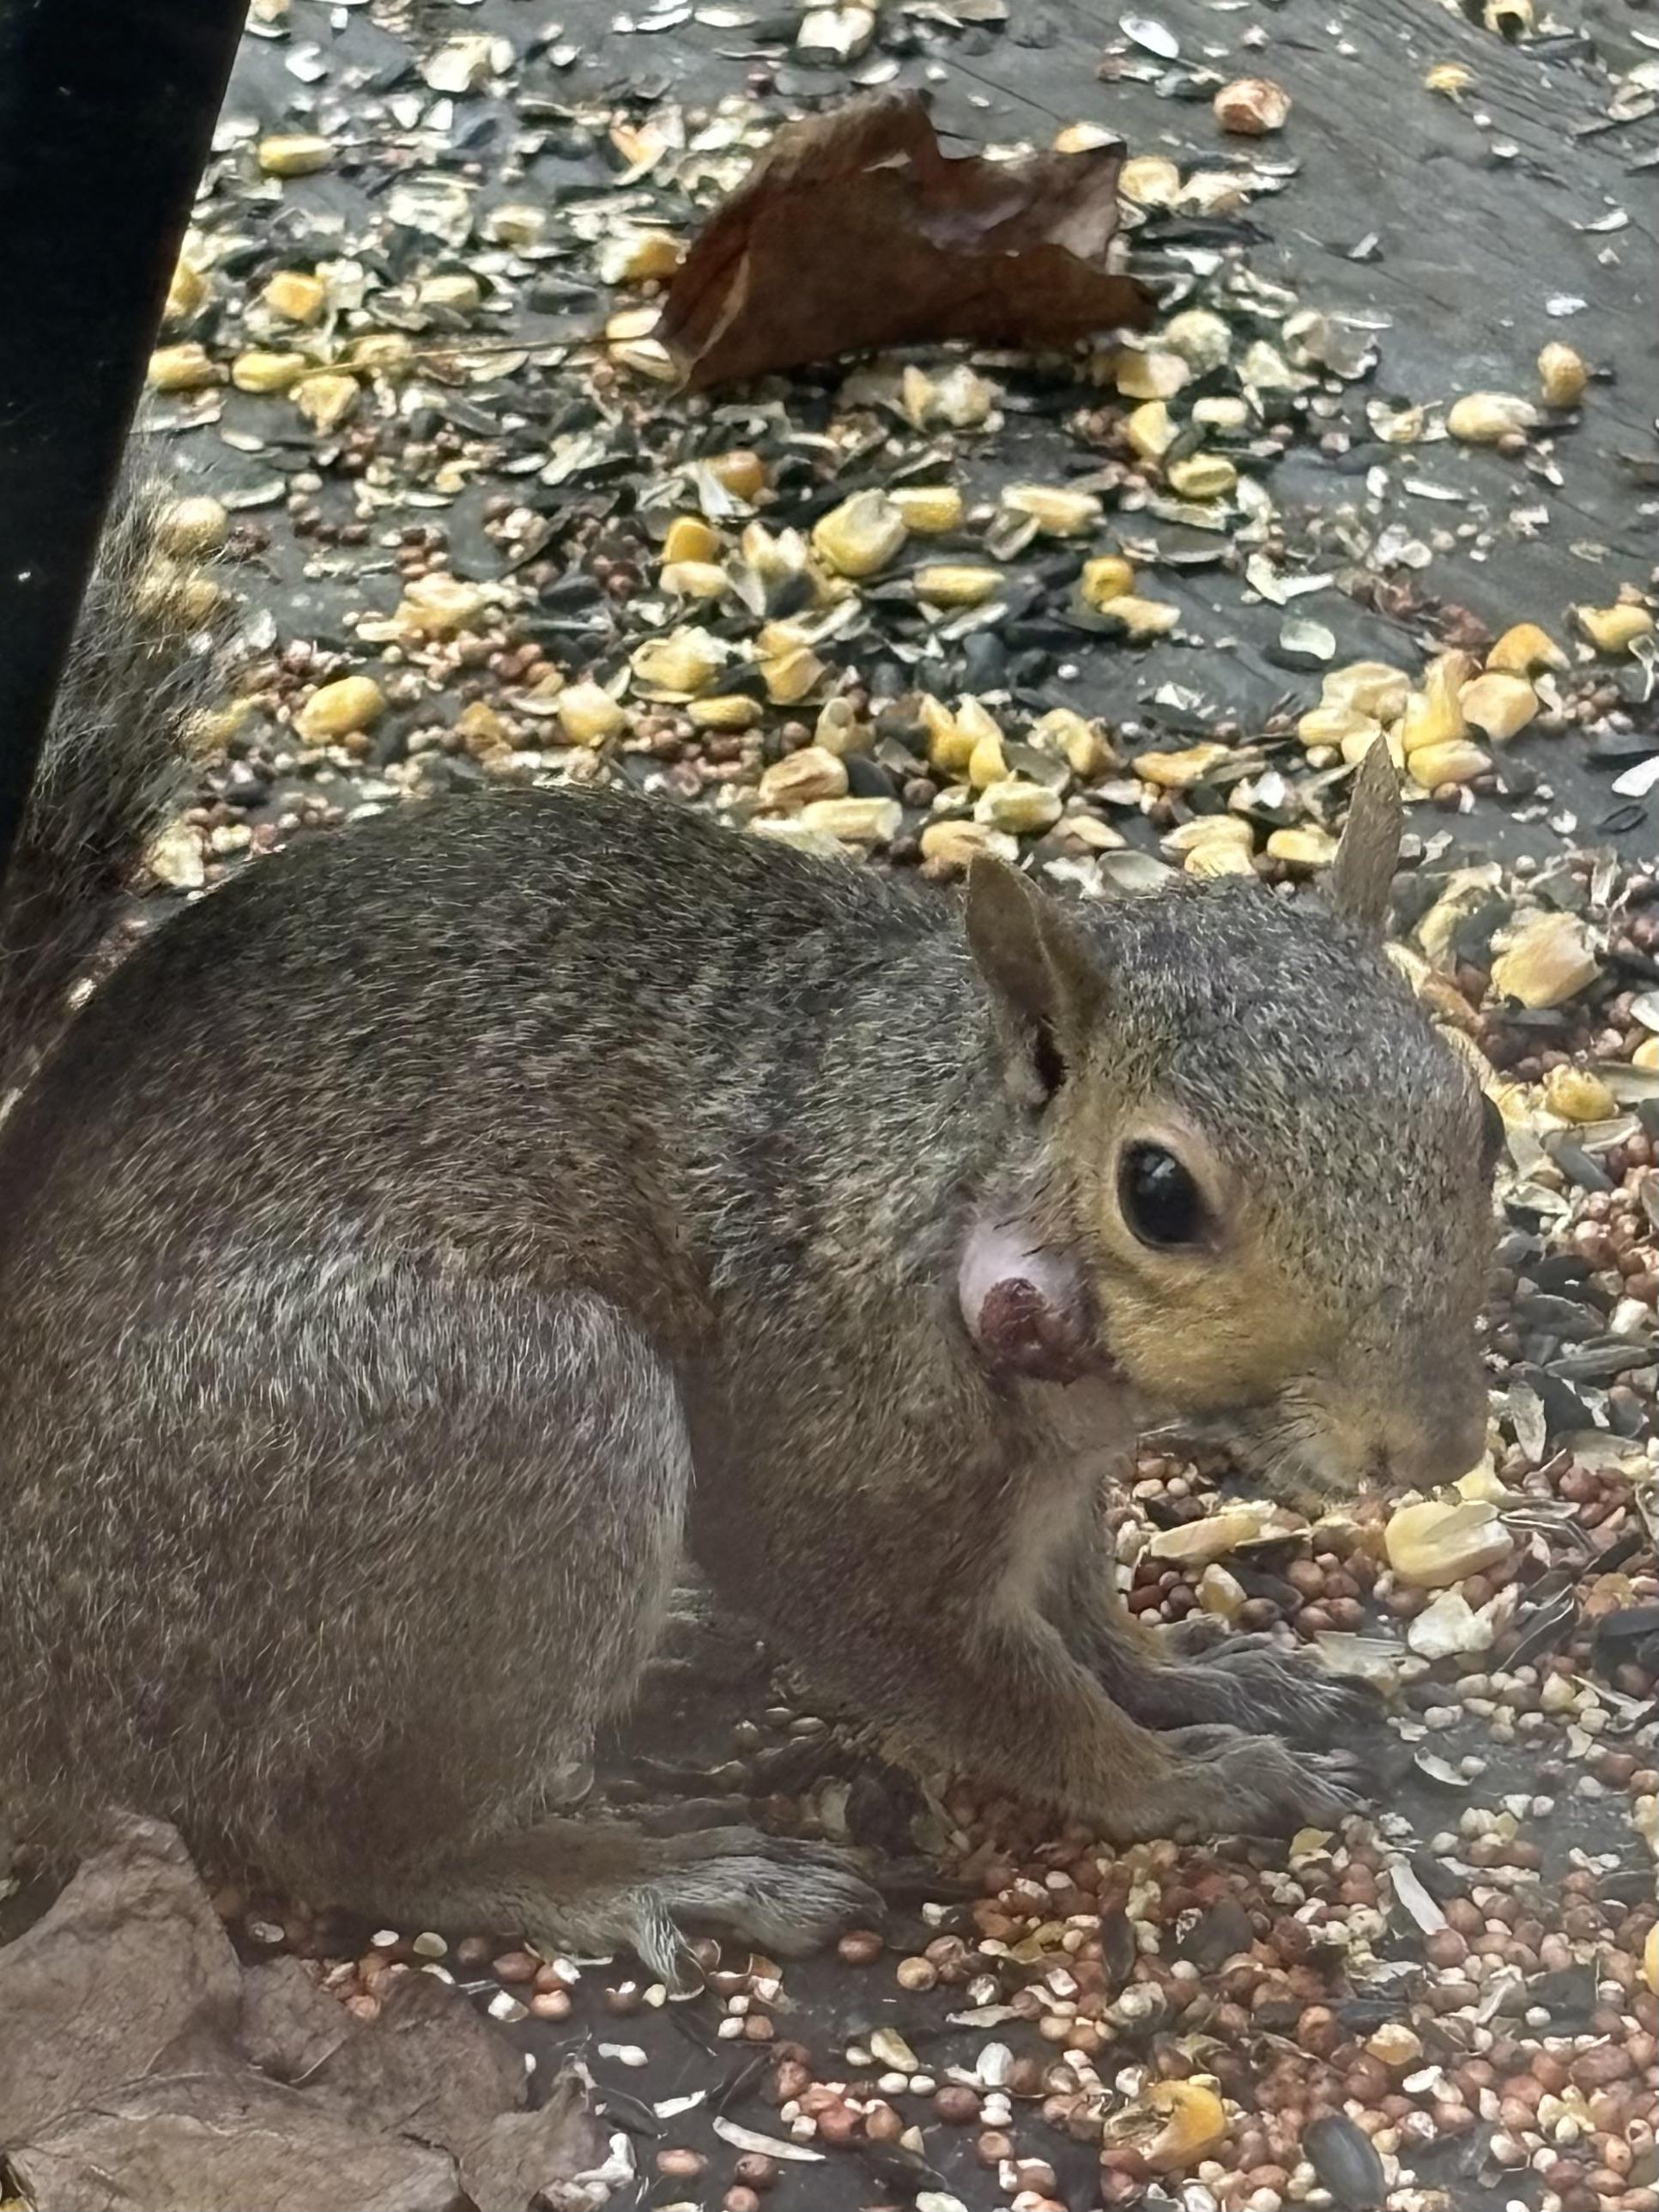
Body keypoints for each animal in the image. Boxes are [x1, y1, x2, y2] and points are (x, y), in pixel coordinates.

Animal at [0, 473, 1499, 1987]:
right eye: (1159, 1195)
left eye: (1479, 1120)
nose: (1433, 1446)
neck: (941, 1172)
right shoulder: (832, 1470)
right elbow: (987, 1682)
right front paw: (1177, 1776)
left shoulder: (1053, 1484)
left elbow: (1079, 1608)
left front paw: (1189, 1673)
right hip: (508, 1429)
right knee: (332, 1841)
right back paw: (651, 1871)